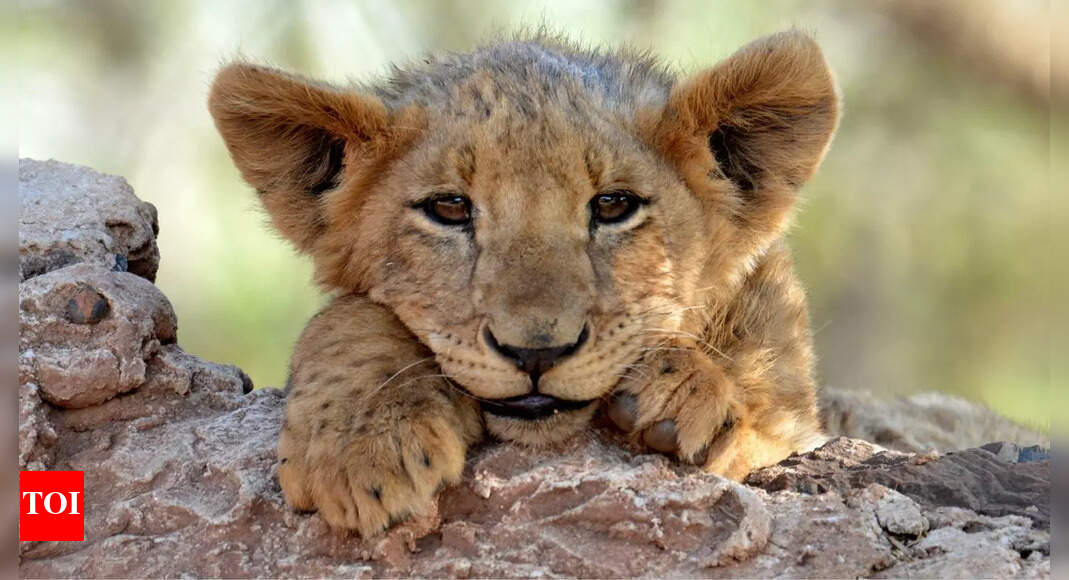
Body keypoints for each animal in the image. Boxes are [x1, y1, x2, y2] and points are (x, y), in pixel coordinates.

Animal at [208, 29, 840, 536]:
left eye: (613, 205)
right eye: (448, 208)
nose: (537, 352)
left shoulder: (795, 396)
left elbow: (767, 381)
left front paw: (685, 396)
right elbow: (348, 316)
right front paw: (363, 447)